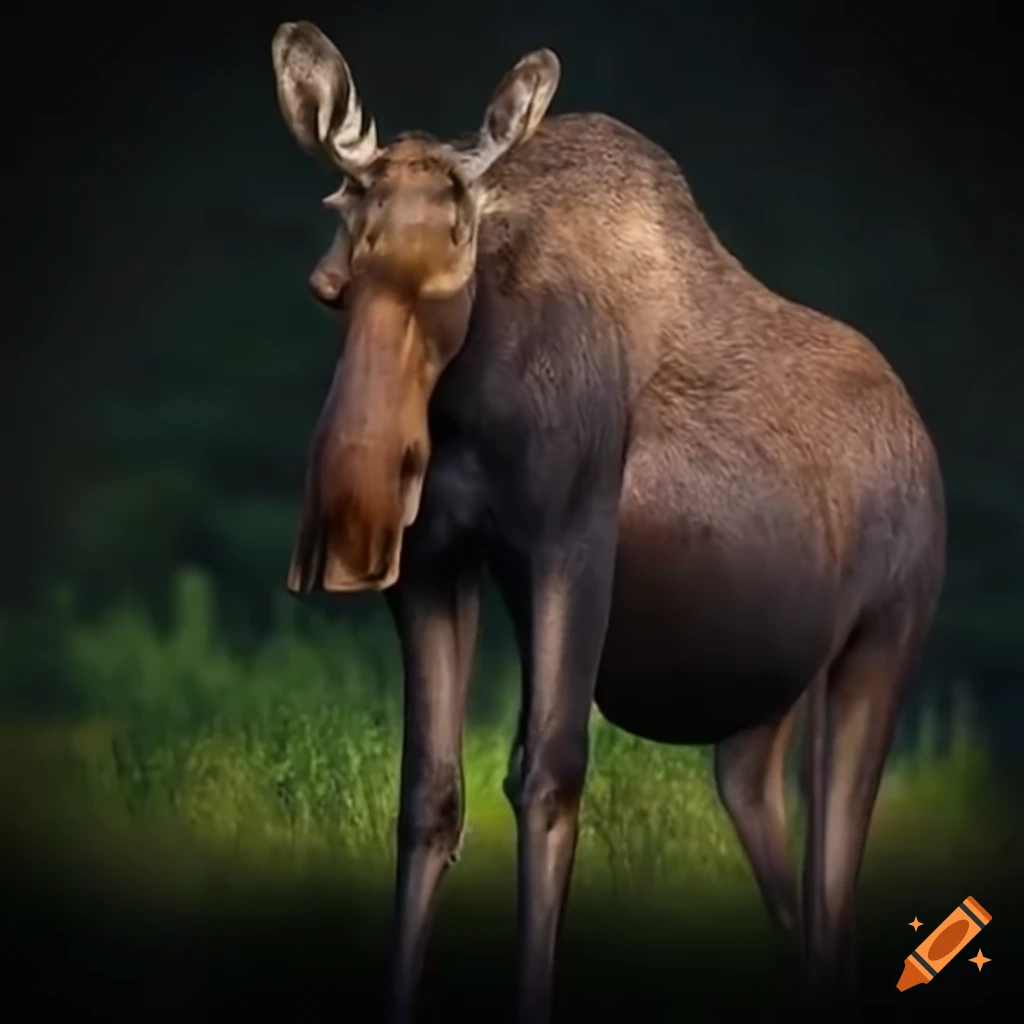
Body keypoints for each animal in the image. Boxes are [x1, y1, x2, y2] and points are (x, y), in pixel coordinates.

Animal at [270, 21, 946, 1023]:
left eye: (460, 250)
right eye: (332, 280)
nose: (358, 515)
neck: (466, 409)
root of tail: (921, 435)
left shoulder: (569, 543)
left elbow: (547, 775)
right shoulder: (434, 568)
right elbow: (428, 795)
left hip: (884, 637)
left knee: (832, 884)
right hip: (763, 708)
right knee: (781, 851)